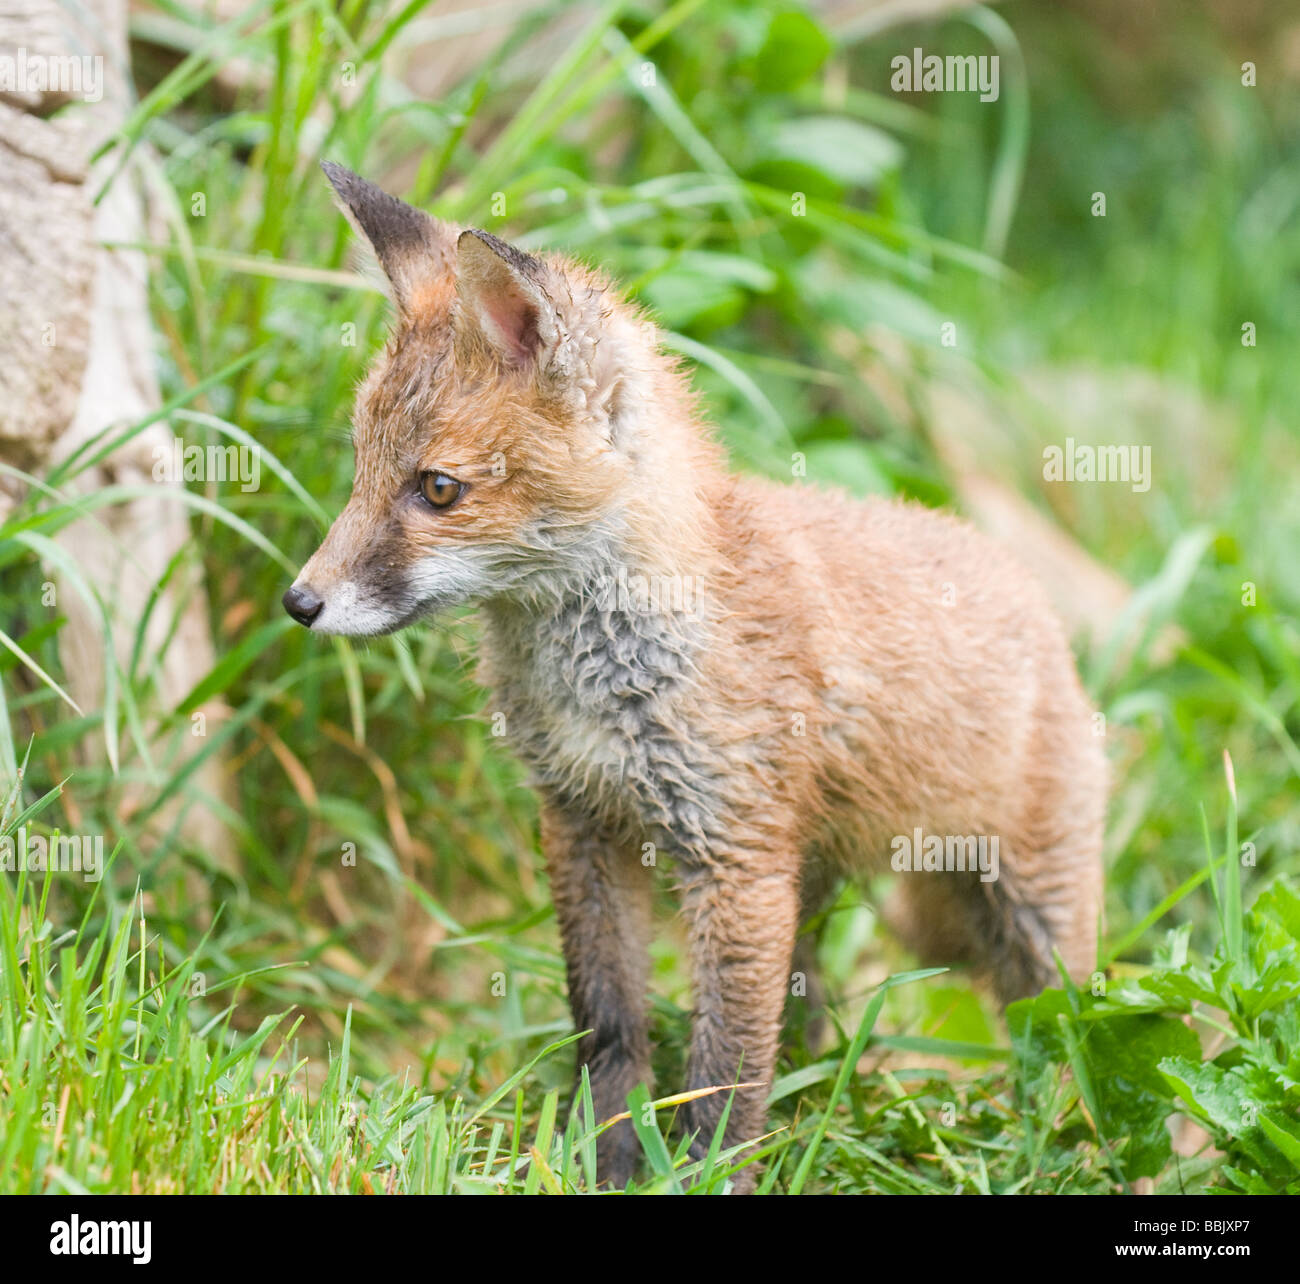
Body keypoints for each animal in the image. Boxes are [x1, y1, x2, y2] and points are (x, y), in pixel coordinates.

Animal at [284, 161, 1107, 1193]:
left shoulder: (734, 857)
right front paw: (608, 1157)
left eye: (437, 489)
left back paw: (1084, 1139)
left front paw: (705, 1172)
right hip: (818, 883)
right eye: (361, 467)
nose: (299, 601)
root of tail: (1027, 587)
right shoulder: (584, 826)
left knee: (1070, 1034)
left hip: (1031, 915)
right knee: (815, 1014)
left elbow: (725, 1069)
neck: (605, 676)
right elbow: (610, 1026)